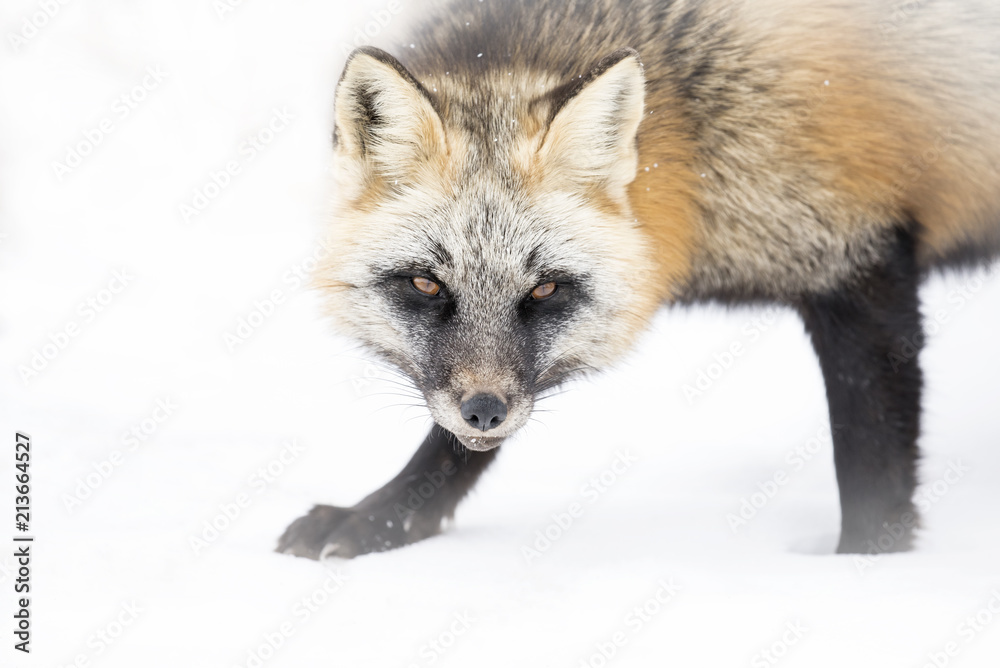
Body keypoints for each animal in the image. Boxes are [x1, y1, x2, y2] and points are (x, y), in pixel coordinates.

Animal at [277, 0, 1000, 559]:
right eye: (427, 285)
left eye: (545, 290)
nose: (484, 409)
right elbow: (450, 449)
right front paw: (382, 518)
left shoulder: (860, 265)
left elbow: (872, 472)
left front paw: (866, 568)